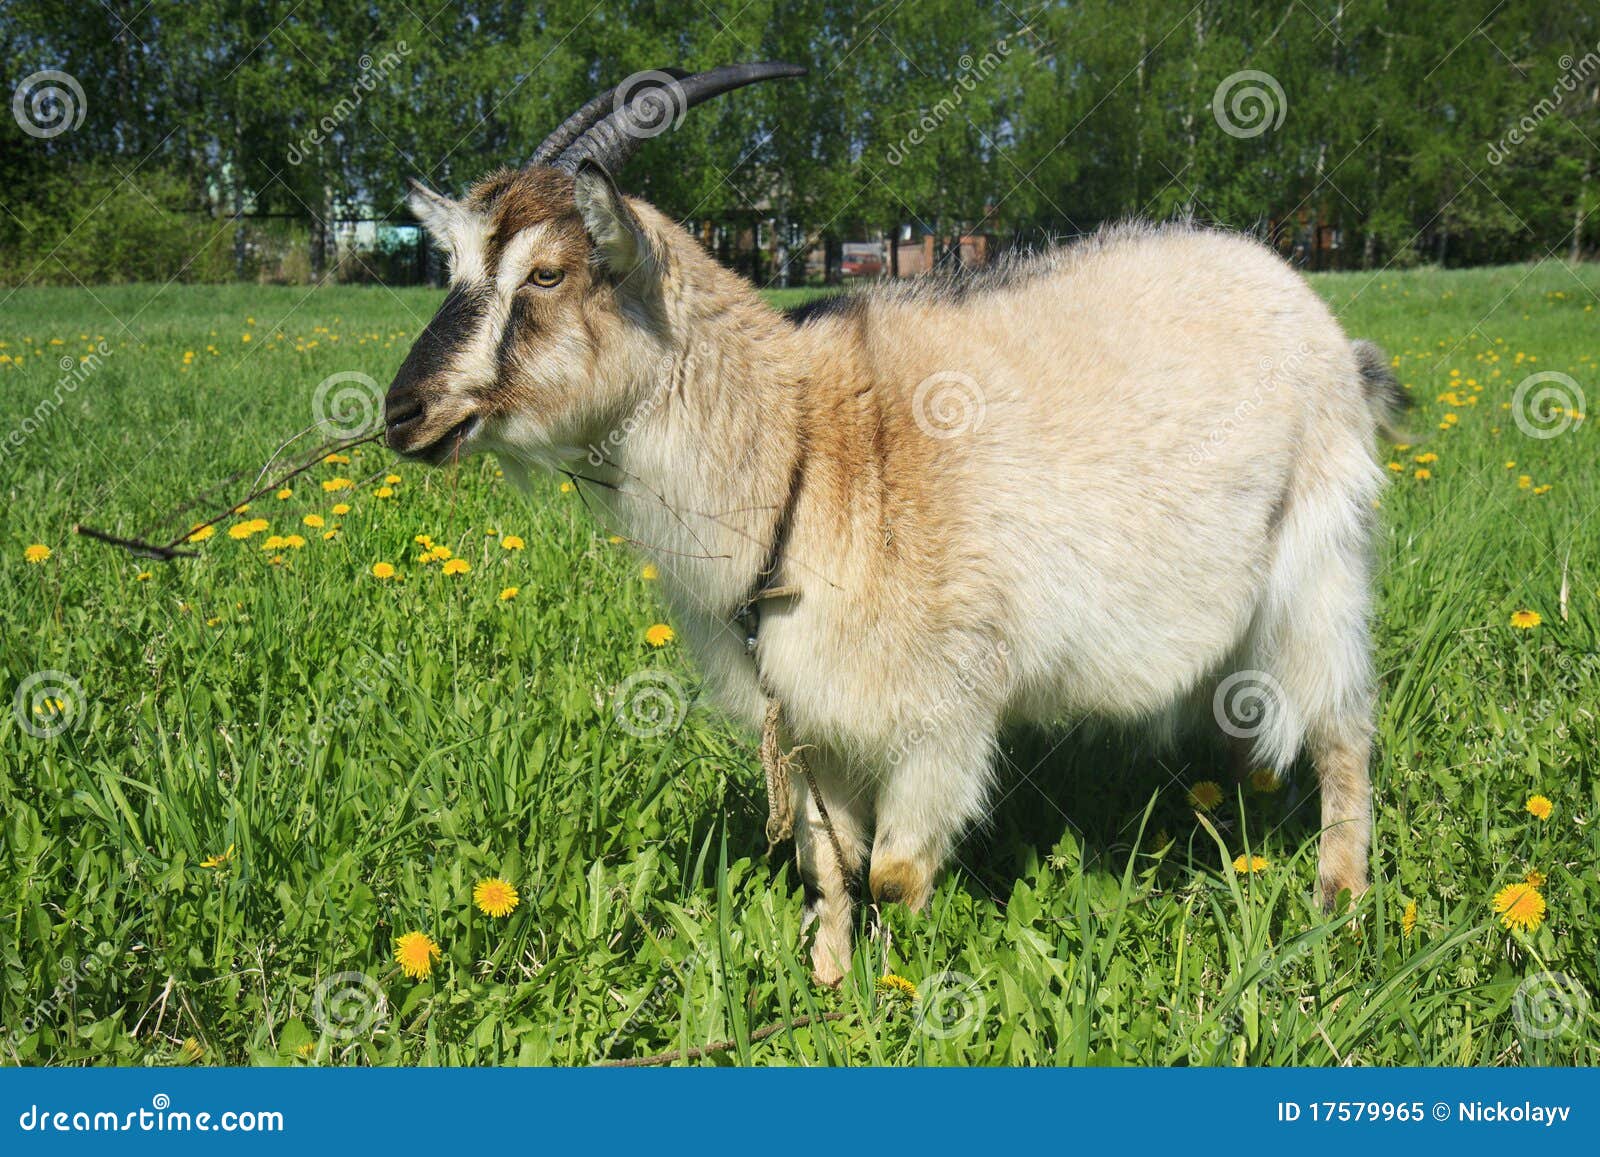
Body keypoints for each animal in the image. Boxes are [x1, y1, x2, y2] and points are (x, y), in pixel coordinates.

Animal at [385, 63, 1405, 986]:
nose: (403, 411)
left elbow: (894, 872)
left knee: (1343, 728)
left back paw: (1340, 903)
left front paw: (896, 996)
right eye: (455, 268)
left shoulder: (946, 708)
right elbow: (828, 866)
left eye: (547, 273)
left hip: (1319, 558)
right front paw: (832, 982)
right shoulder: (814, 715)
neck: (809, 448)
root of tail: (1319, 319)